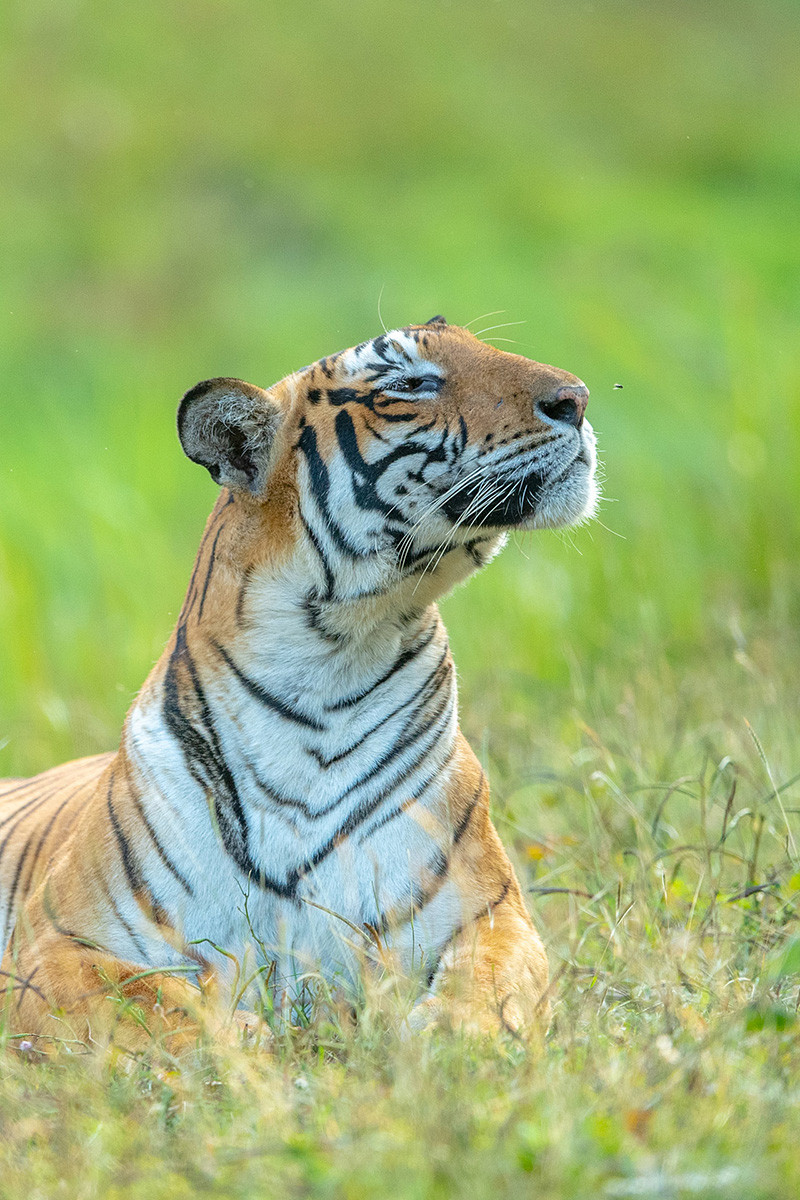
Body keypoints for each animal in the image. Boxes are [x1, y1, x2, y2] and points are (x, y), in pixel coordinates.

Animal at [0, 316, 597, 1052]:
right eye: (410, 383)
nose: (577, 398)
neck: (329, 670)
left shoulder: (490, 912)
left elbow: (488, 982)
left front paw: (449, 1037)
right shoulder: (52, 948)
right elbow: (152, 1002)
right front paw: (246, 1040)